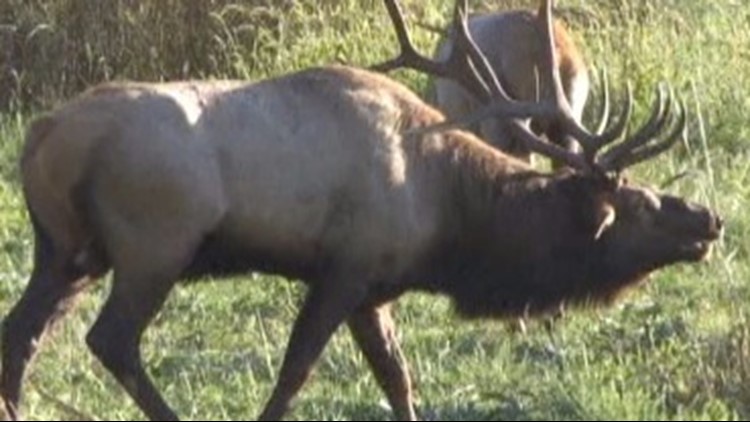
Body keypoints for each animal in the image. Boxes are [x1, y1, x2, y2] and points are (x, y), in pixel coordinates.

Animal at [0, 0, 721, 420]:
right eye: (638, 201)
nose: (709, 220)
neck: (446, 214)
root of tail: (41, 135)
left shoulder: (376, 287)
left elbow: (398, 380)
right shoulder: (345, 268)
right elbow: (295, 373)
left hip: (66, 251)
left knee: (21, 333)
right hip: (153, 244)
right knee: (110, 339)